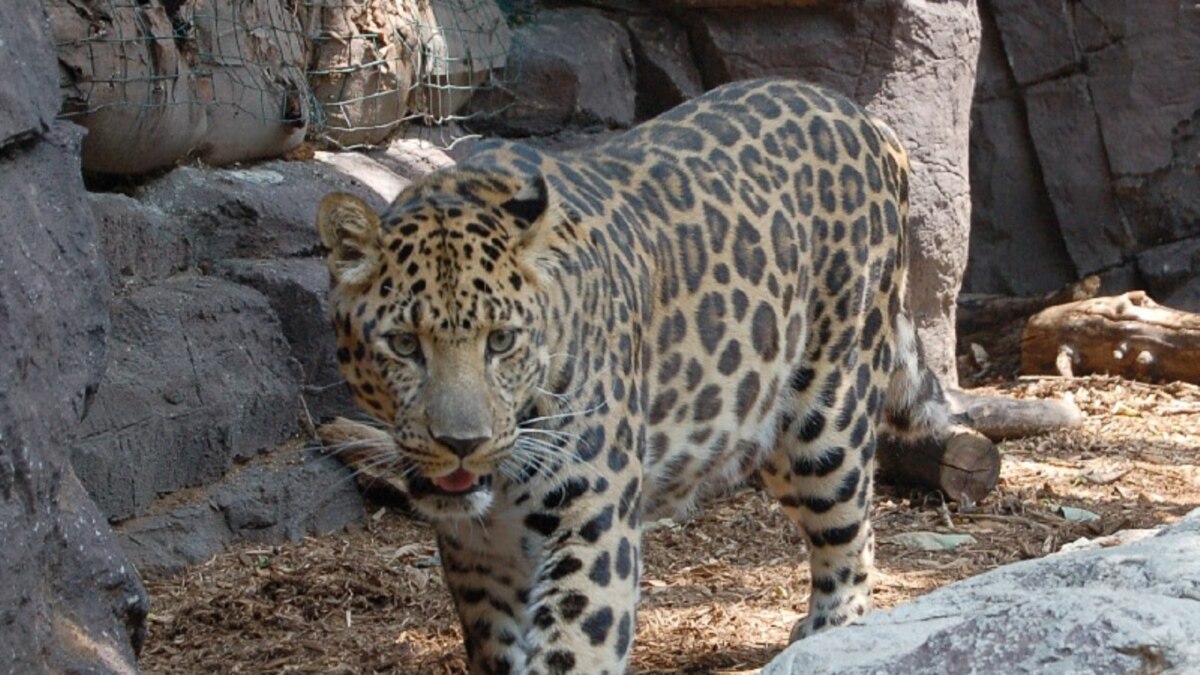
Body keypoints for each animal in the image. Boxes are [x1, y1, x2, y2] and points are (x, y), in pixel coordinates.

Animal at [316, 78, 954, 674]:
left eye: (501, 341)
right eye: (404, 344)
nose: (461, 445)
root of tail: (862, 115)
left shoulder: (592, 518)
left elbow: (575, 646)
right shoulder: (478, 553)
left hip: (827, 413)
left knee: (851, 529)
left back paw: (831, 630)